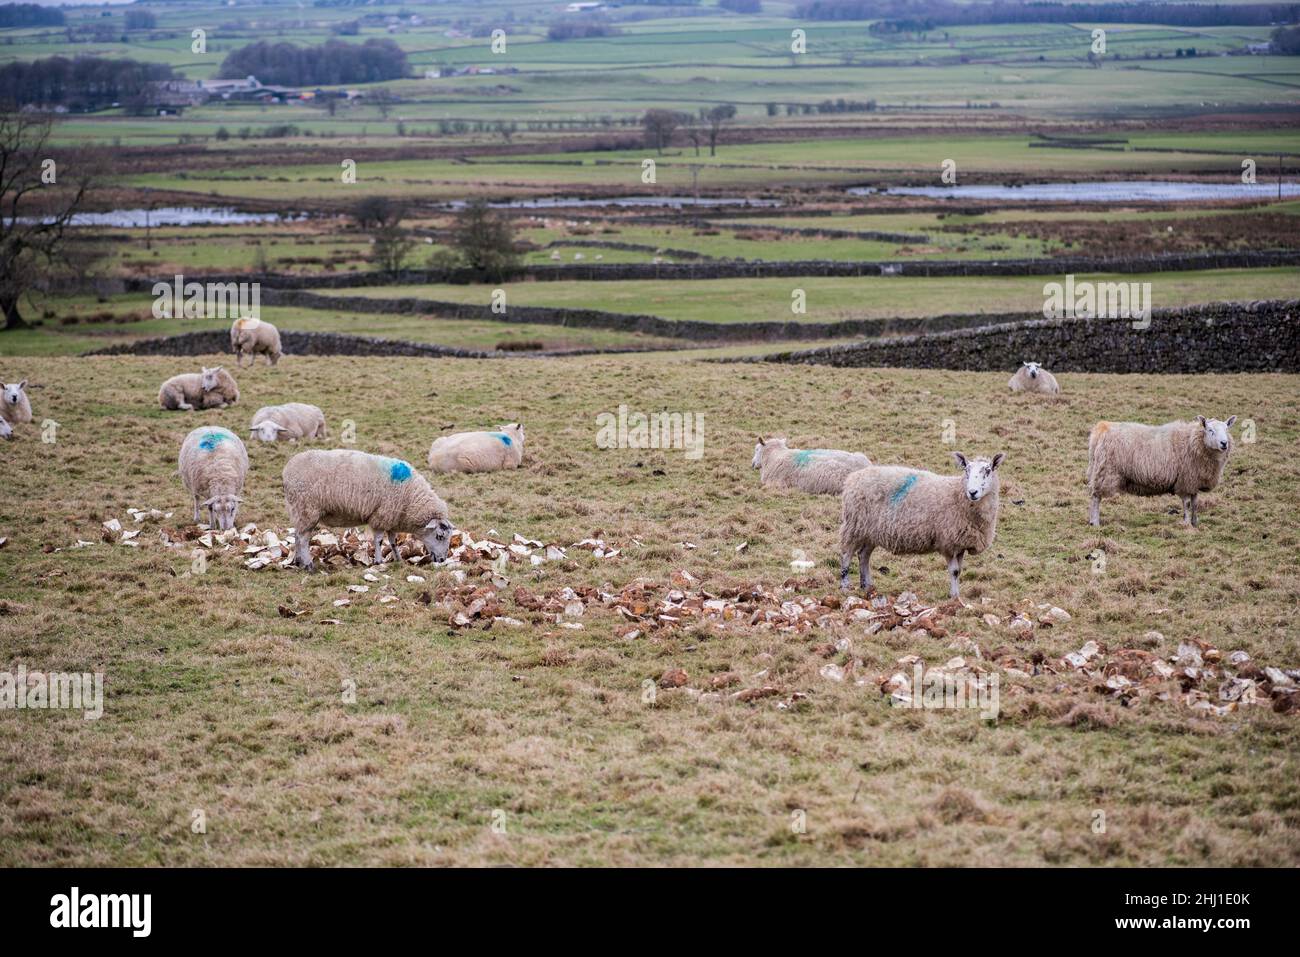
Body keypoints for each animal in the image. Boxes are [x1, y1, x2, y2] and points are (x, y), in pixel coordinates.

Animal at [283, 449, 454, 570]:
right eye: (439, 536)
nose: (442, 559)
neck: (410, 497)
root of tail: (287, 470)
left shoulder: (392, 518)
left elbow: (393, 541)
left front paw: (398, 559)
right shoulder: (382, 514)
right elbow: (379, 540)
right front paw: (378, 561)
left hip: (299, 511)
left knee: (297, 535)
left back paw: (298, 561)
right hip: (307, 508)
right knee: (303, 539)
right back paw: (308, 565)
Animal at [839, 451, 1005, 599]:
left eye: (988, 470)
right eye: (966, 470)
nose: (972, 492)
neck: (958, 495)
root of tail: (852, 478)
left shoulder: (960, 543)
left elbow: (959, 571)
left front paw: (957, 594)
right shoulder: (948, 542)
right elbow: (954, 571)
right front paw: (954, 596)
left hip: (870, 531)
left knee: (863, 555)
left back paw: (867, 585)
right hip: (854, 525)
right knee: (846, 554)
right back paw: (845, 585)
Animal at [1087, 415, 1236, 528]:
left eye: (1226, 429)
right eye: (1210, 430)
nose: (1224, 443)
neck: (1192, 441)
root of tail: (1102, 428)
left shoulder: (1193, 481)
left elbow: (1195, 503)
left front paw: (1195, 523)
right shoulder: (1185, 480)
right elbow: (1187, 503)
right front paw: (1186, 523)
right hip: (1105, 472)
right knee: (1095, 497)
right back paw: (1095, 522)